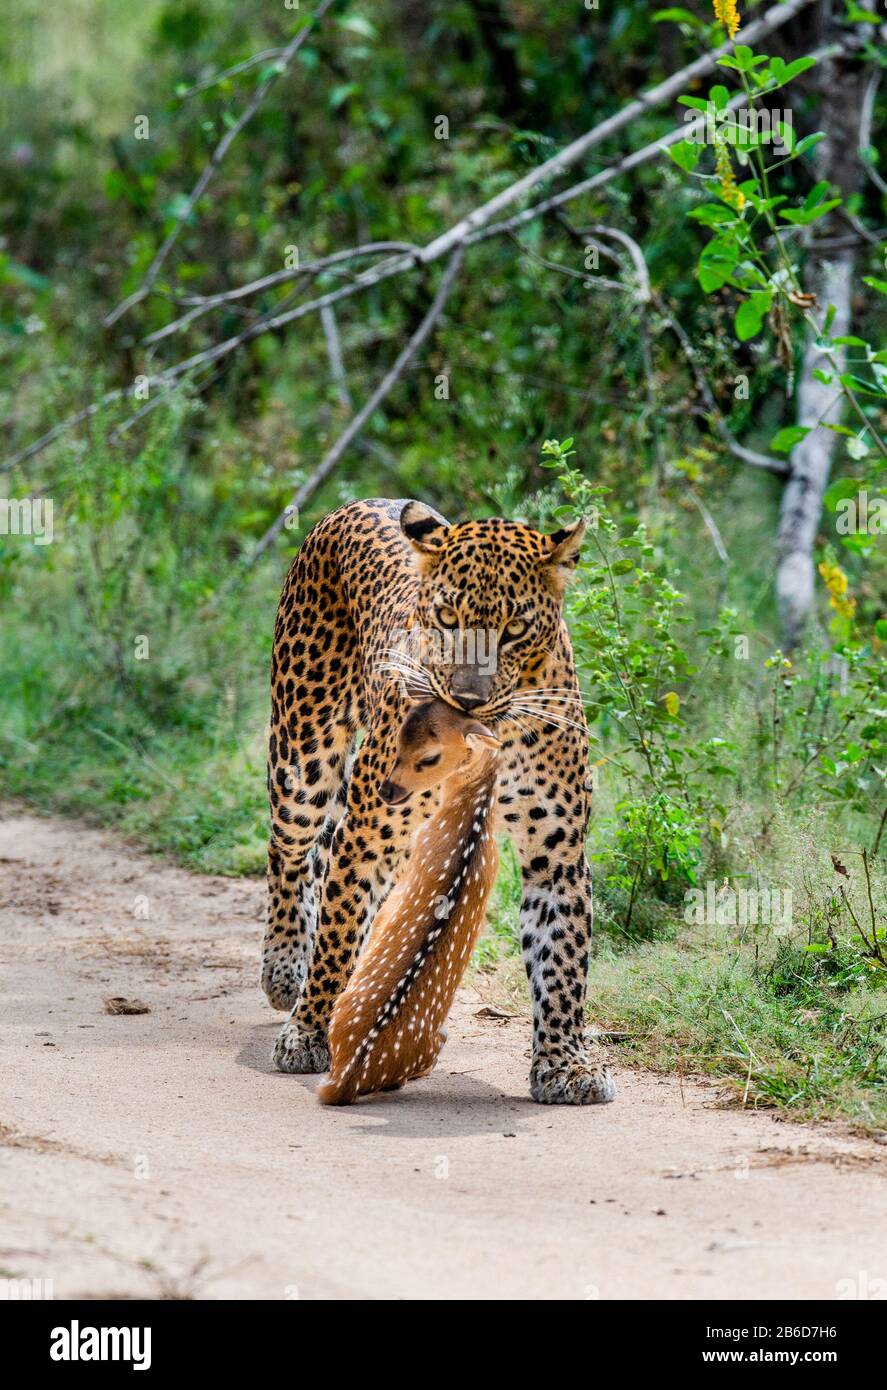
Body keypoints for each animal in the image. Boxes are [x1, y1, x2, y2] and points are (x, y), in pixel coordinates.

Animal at [263, 496, 616, 1105]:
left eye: (514, 628)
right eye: (448, 618)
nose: (469, 699)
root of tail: (360, 502)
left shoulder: (558, 852)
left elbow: (563, 960)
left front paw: (565, 1064)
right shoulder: (368, 833)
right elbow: (335, 936)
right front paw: (308, 1031)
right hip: (301, 761)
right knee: (290, 854)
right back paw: (286, 970)